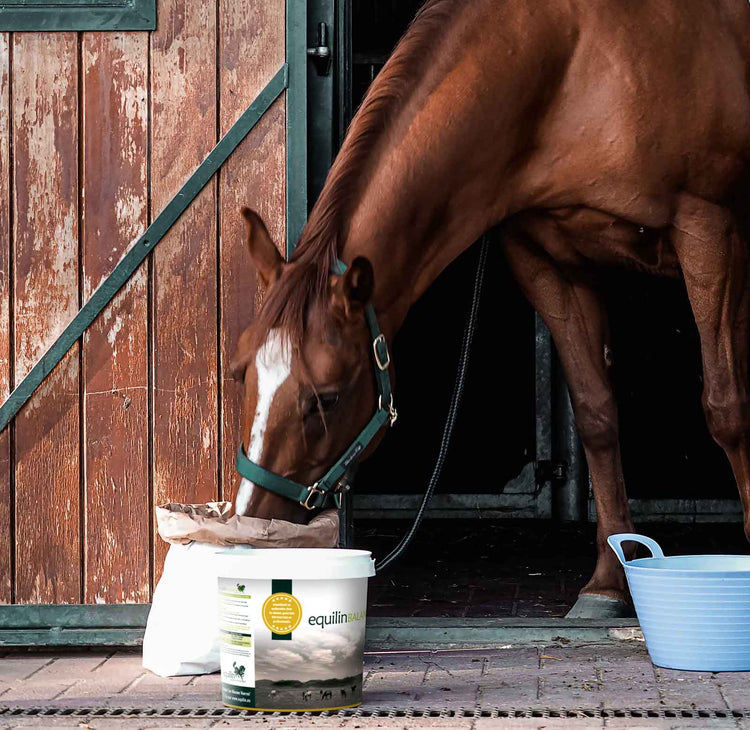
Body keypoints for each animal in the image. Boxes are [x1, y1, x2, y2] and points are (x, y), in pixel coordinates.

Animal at [230, 0, 750, 618]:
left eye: (326, 399)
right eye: (240, 373)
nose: (249, 532)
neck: (575, 62)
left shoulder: (708, 229)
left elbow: (727, 408)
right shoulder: (545, 257)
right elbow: (597, 416)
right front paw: (605, 584)